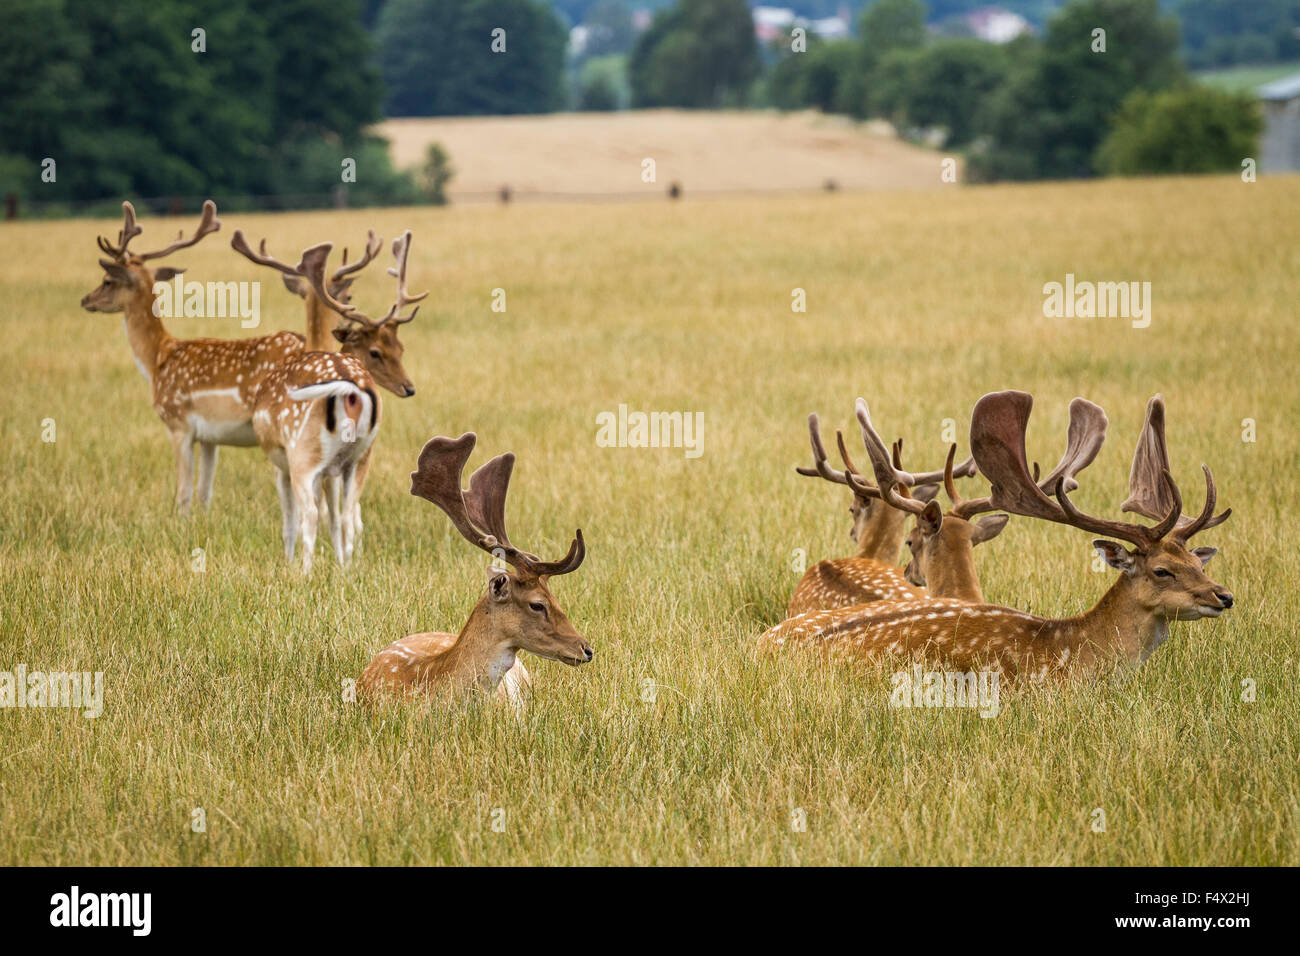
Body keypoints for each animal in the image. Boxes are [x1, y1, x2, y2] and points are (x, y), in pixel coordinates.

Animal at [80, 201, 306, 513]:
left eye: (107, 280)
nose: (85, 300)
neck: (156, 360)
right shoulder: (210, 437)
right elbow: (204, 492)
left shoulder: (179, 424)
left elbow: (184, 493)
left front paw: (180, 520)